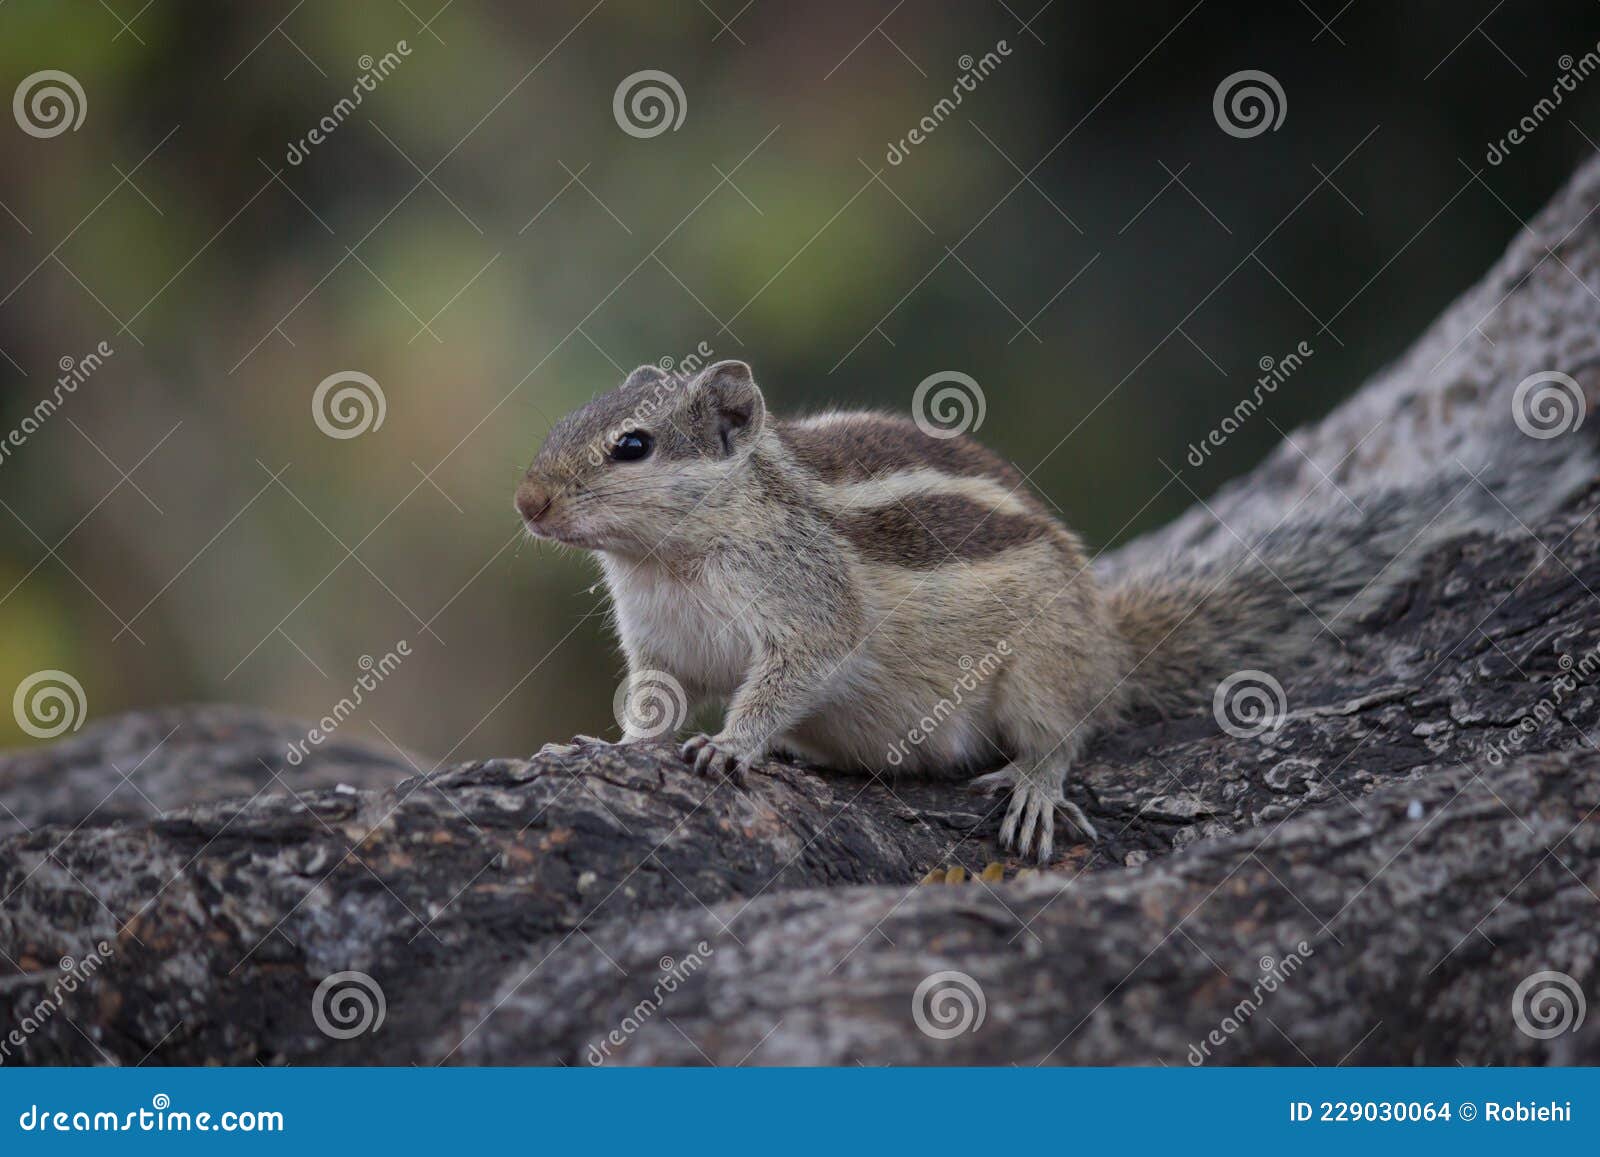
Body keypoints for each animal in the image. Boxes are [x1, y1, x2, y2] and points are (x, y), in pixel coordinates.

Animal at [516, 359, 1595, 862]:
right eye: (571, 419)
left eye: (633, 445)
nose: (525, 504)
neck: (671, 559)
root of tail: (1110, 644)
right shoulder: (658, 646)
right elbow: (651, 702)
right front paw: (601, 748)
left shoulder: (804, 605)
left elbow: (797, 667)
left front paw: (735, 743)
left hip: (1038, 665)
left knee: (1064, 728)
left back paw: (1034, 782)